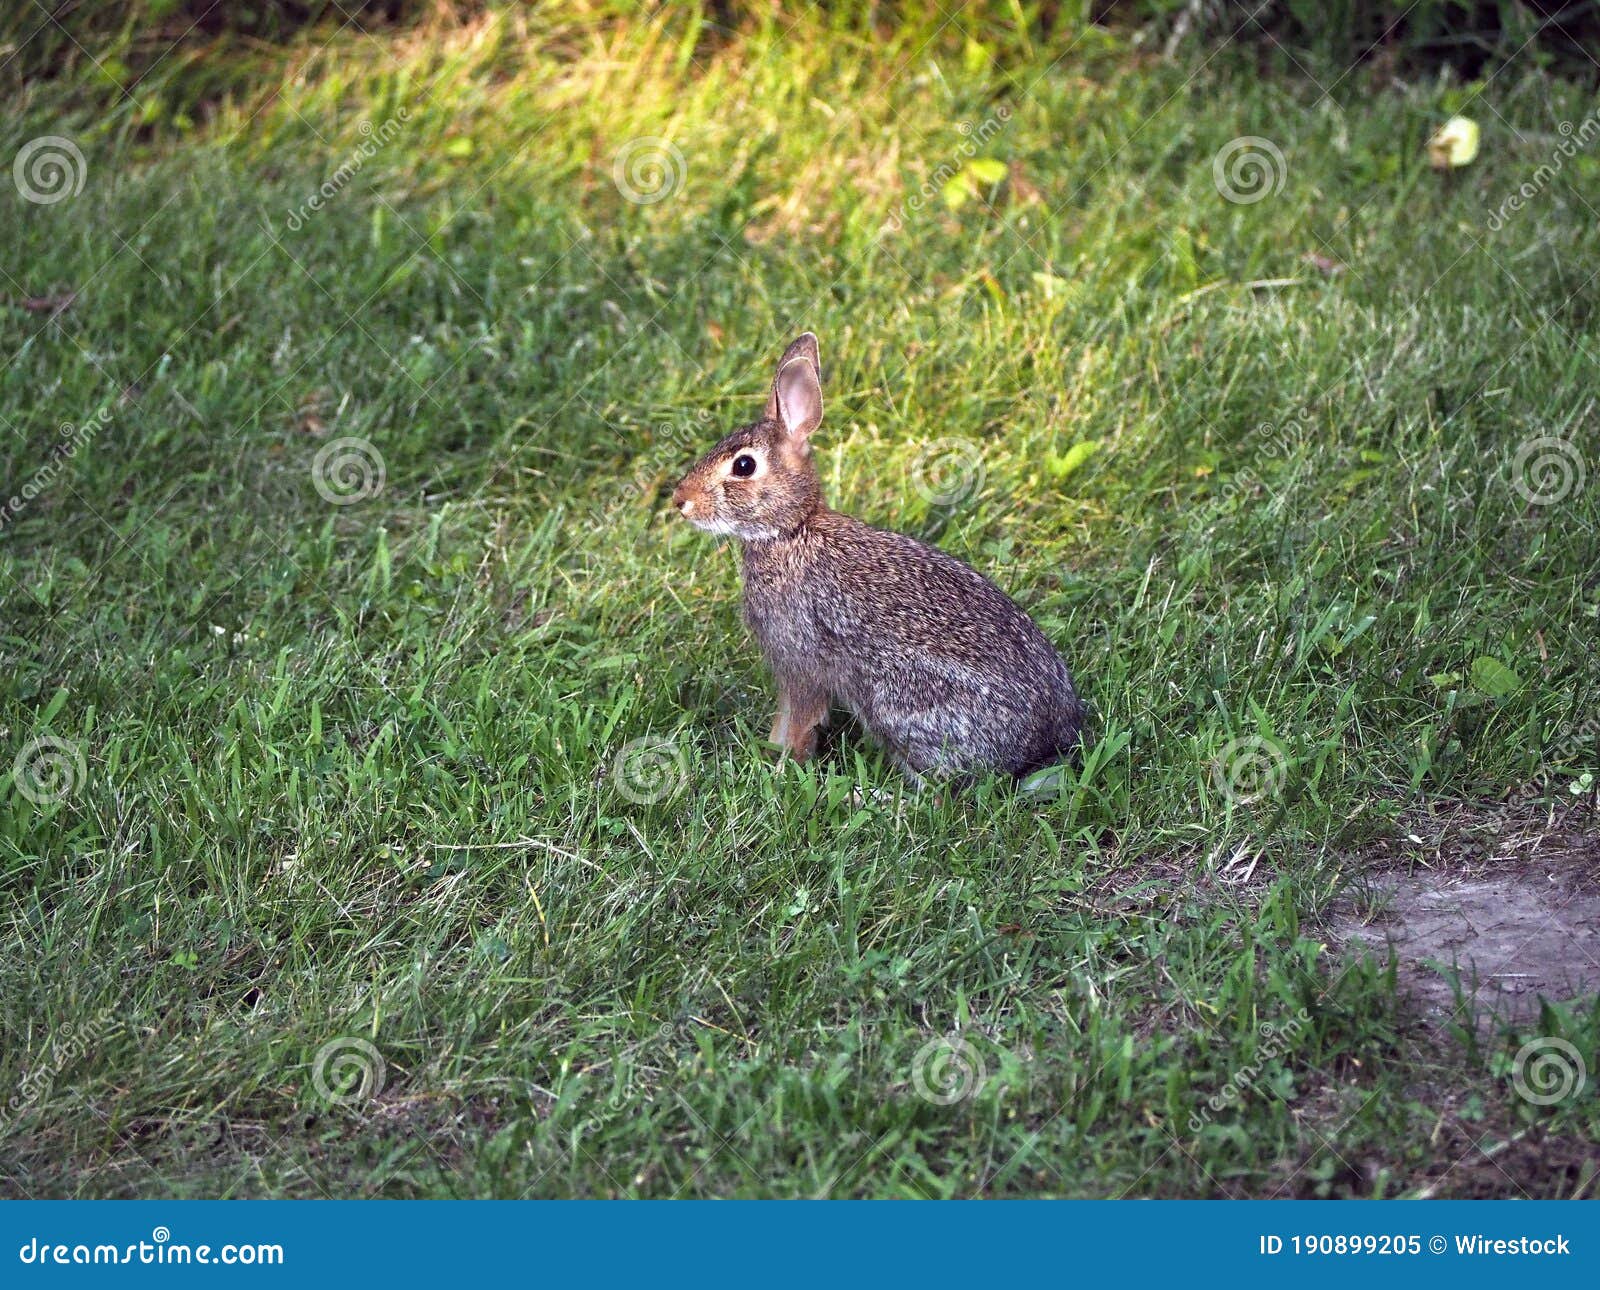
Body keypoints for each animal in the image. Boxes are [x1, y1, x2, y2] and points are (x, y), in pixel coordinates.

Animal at [671, 333, 1084, 782]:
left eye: (743, 465)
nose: (680, 500)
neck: (792, 531)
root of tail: (1047, 737)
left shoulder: (800, 664)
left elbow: (799, 721)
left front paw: (780, 768)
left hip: (899, 705)